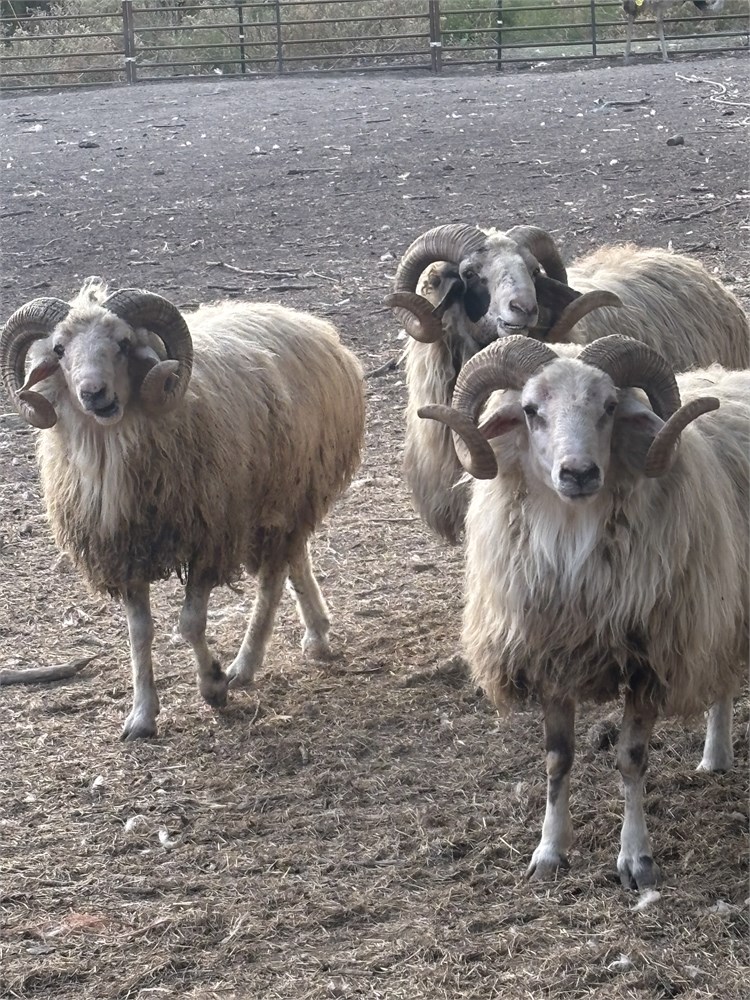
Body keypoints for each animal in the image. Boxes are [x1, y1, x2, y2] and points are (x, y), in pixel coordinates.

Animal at [0, 278, 365, 740]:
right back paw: (316, 634)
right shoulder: (125, 552)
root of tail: (306, 320)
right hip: (279, 497)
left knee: (272, 579)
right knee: (294, 557)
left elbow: (190, 624)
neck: (112, 448)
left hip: (288, 491)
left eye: (123, 343)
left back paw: (245, 664)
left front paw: (213, 685)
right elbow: (139, 633)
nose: (93, 394)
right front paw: (142, 715)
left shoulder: (209, 537)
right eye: (60, 349)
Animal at [419, 324, 748, 888]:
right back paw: (716, 757)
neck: (572, 538)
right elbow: (558, 760)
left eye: (611, 406)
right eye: (530, 410)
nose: (577, 473)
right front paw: (549, 852)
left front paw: (636, 860)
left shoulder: (648, 660)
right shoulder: (551, 655)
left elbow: (632, 760)